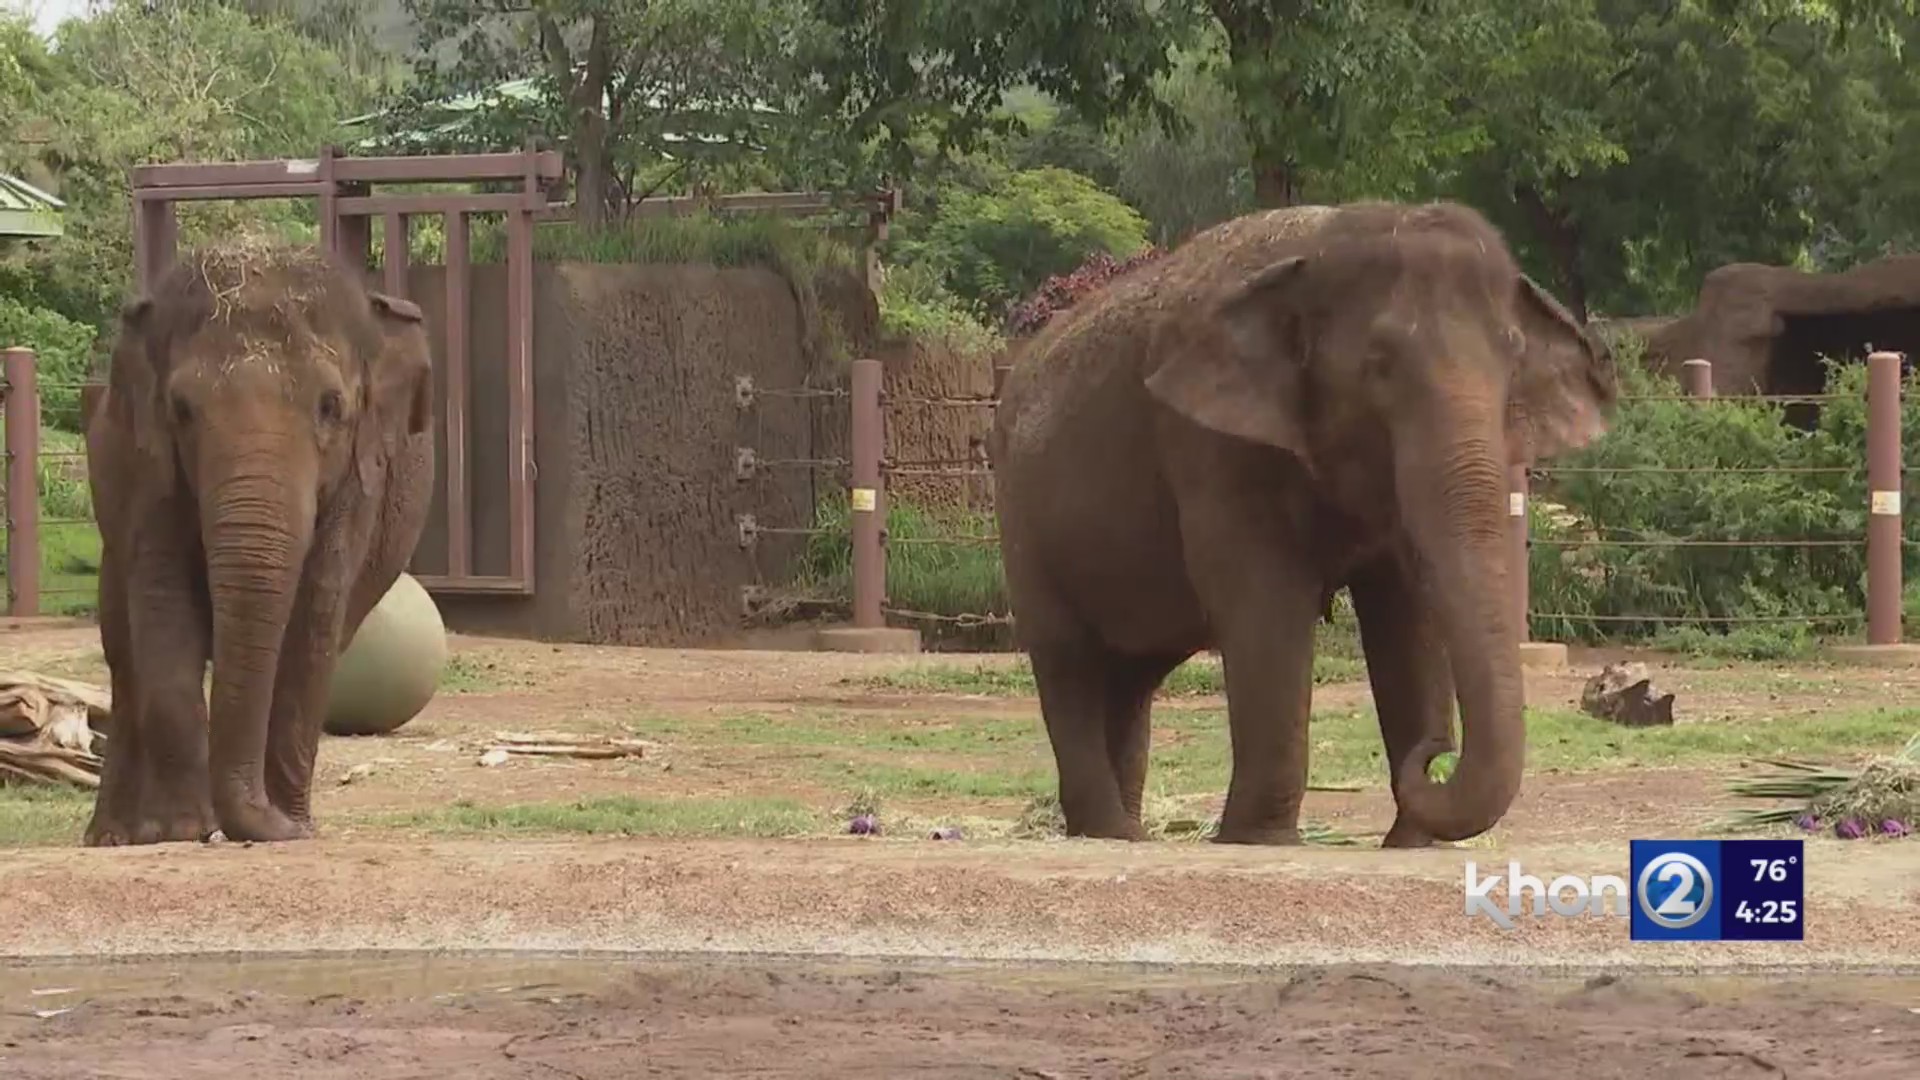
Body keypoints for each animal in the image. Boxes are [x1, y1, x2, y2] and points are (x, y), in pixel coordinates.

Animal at [82, 241, 435, 845]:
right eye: (181, 409)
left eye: (331, 406)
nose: (277, 825)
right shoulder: (148, 473)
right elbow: (163, 606)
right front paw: (181, 829)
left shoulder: (358, 483)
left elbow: (314, 624)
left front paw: (290, 825)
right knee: (123, 658)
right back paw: (114, 837)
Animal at [988, 201, 1617, 848]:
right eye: (1378, 365)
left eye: (1514, 360)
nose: (1435, 753)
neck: (1320, 242)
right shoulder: (1213, 449)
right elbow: (1264, 603)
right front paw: (1253, 841)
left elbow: (1405, 610)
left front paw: (1409, 845)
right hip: (1020, 522)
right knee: (1067, 662)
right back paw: (1111, 835)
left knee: (1130, 680)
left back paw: (1126, 834)